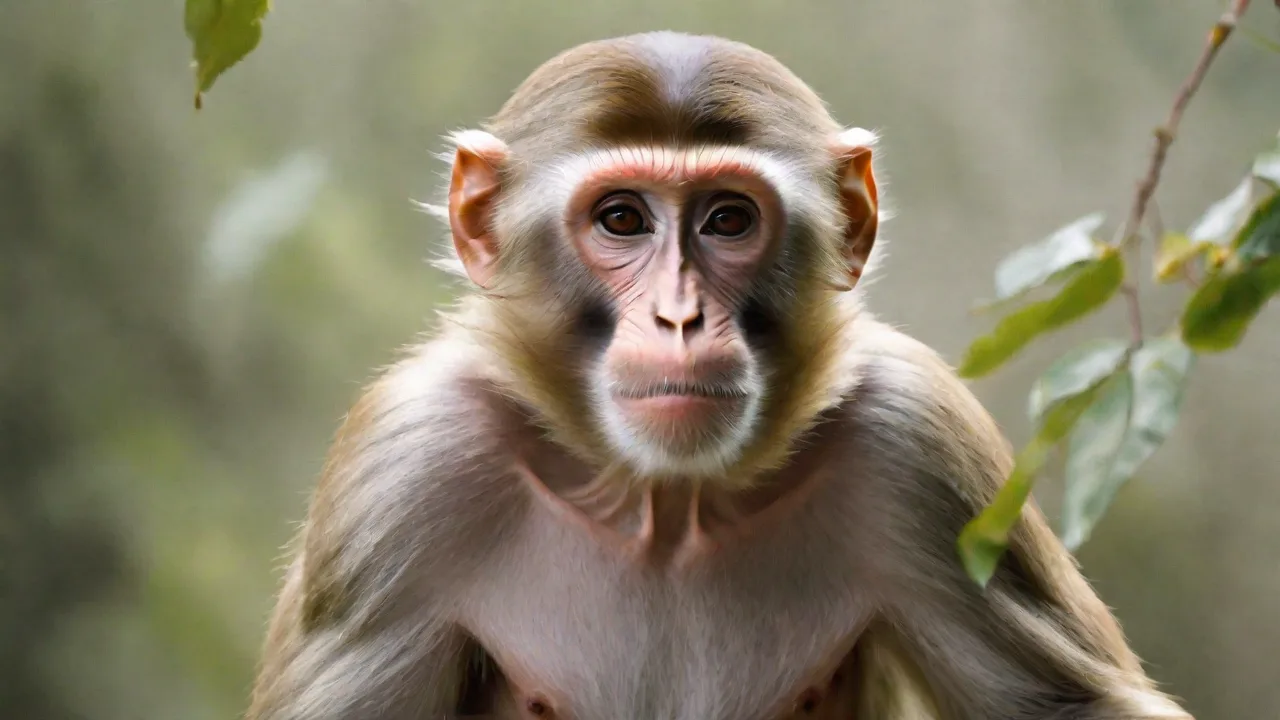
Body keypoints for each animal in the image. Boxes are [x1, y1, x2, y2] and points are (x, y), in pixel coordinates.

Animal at [245, 31, 1193, 720]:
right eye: (621, 219)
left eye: (728, 220)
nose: (680, 318)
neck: (667, 503)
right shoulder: (403, 475)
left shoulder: (923, 447)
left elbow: (1077, 710)